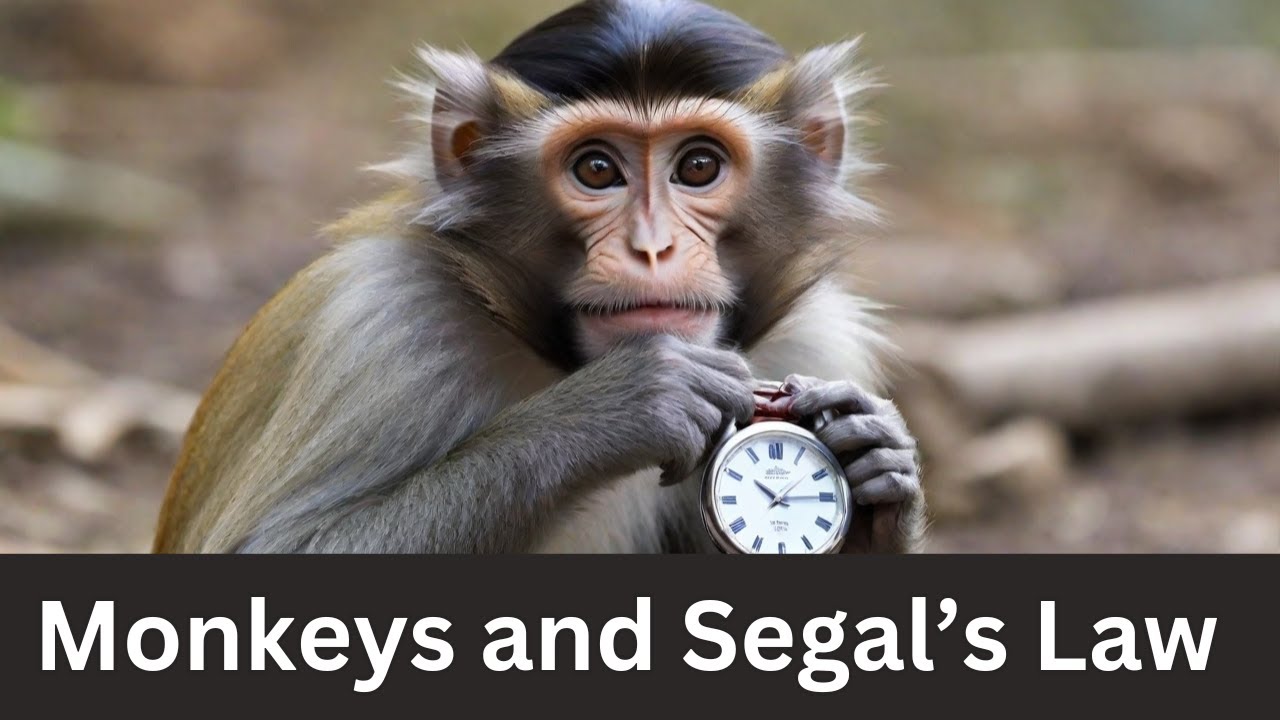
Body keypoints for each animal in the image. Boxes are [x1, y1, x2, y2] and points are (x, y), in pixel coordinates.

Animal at [152, 0, 925, 554]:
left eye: (700, 165)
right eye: (597, 169)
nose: (652, 247)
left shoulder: (816, 342)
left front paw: (876, 470)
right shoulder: (382, 327)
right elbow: (280, 549)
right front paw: (619, 407)